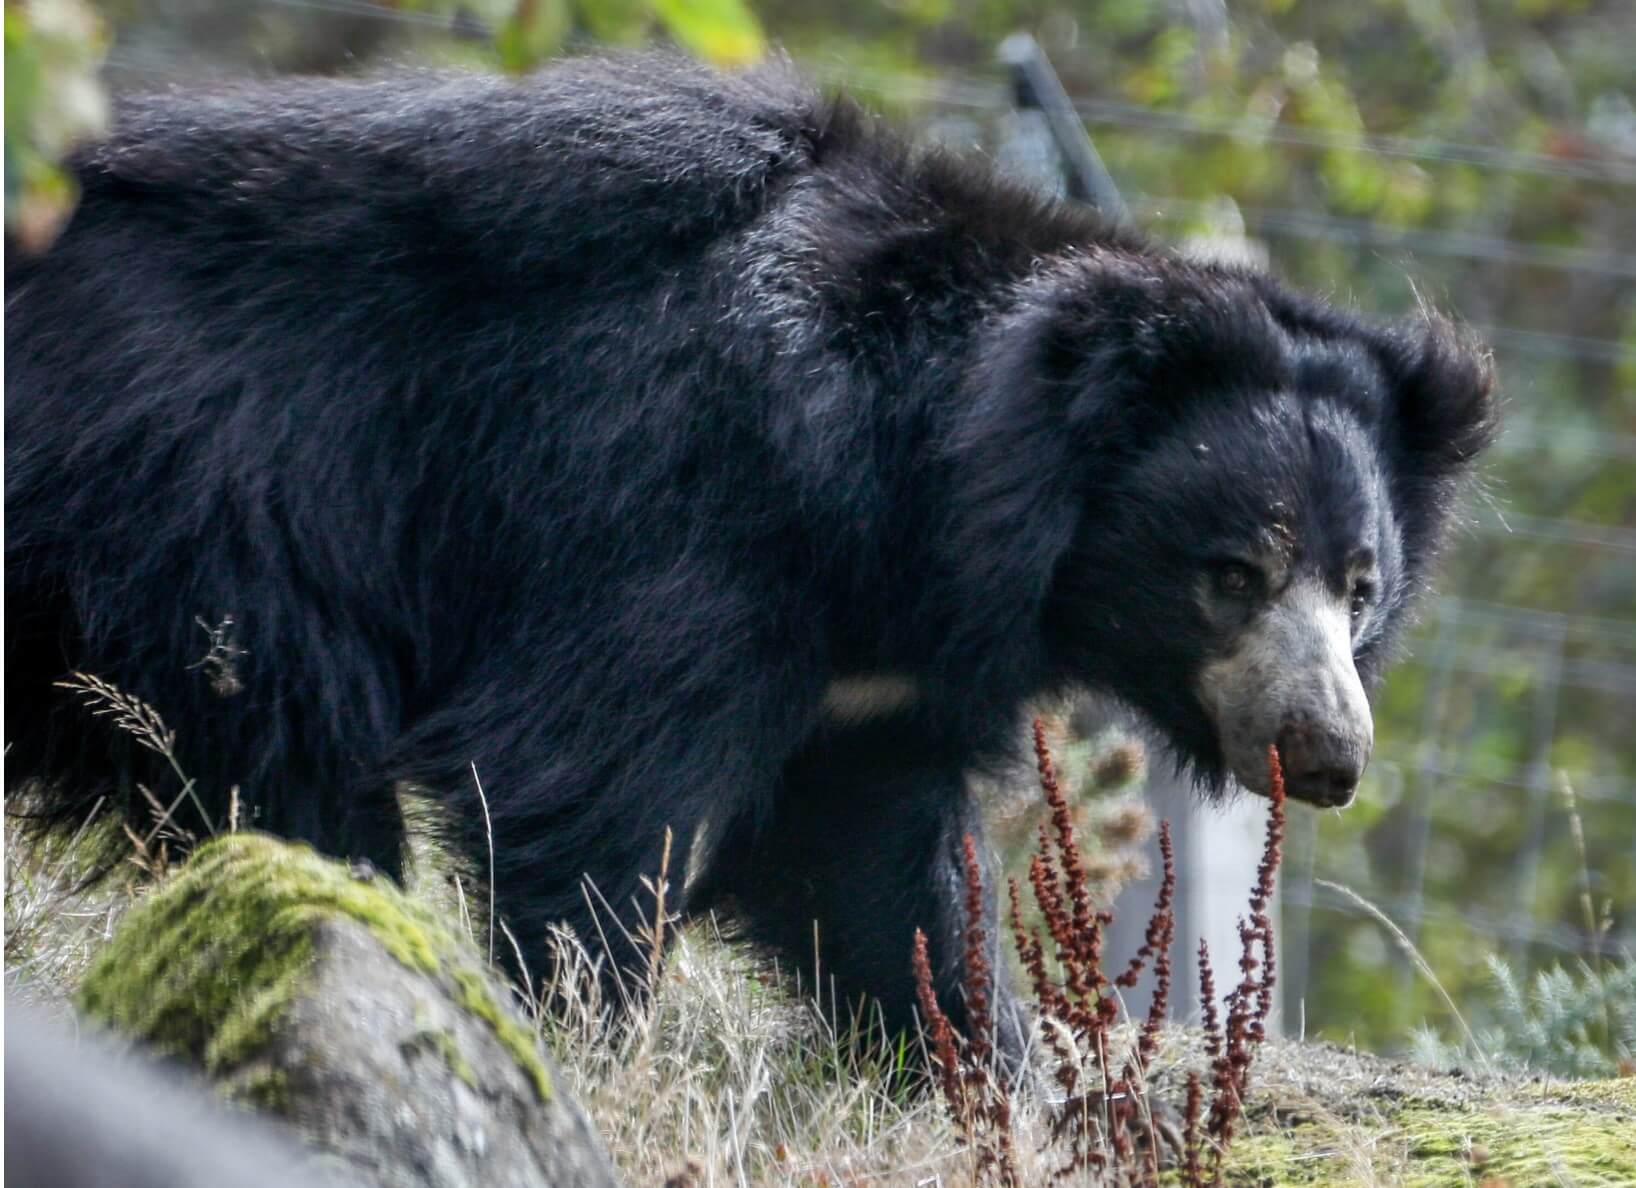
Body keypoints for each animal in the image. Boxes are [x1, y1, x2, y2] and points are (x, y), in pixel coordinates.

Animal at [5, 53, 1496, 1067]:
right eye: (1231, 571)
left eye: (1360, 589)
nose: (1328, 753)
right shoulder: (686, 519)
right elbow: (587, 795)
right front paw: (580, 1043)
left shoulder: (875, 689)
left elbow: (884, 878)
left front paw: (1001, 1075)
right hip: (196, 502)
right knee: (284, 758)